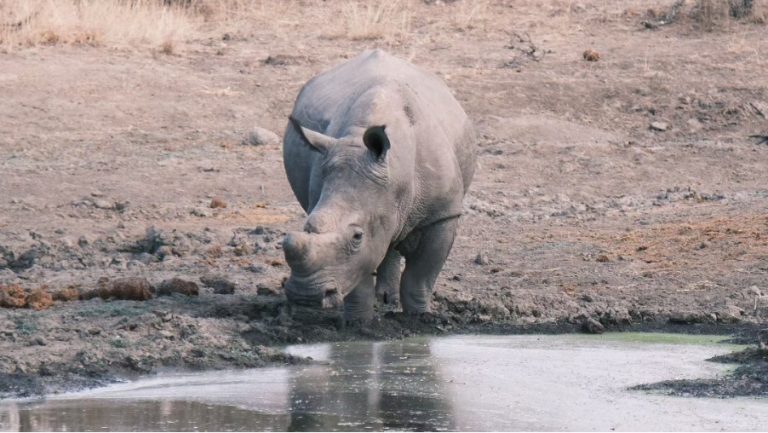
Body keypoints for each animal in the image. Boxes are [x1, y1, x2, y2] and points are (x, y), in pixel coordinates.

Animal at [282, 49, 476, 323]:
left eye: (357, 236)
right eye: (307, 227)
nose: (304, 296)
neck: (396, 176)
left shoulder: (442, 214)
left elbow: (419, 277)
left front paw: (418, 319)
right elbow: (360, 270)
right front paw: (359, 324)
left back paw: (389, 302)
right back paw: (385, 301)